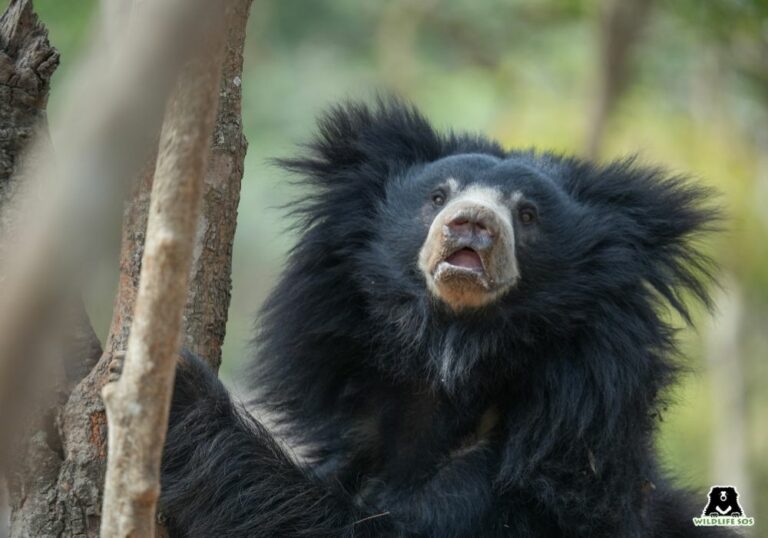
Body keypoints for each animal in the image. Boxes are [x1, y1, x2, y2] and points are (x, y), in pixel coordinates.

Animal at [159, 99, 736, 537]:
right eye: (438, 196)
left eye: (527, 214)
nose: (472, 224)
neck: (454, 360)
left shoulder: (538, 486)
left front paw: (177, 391)